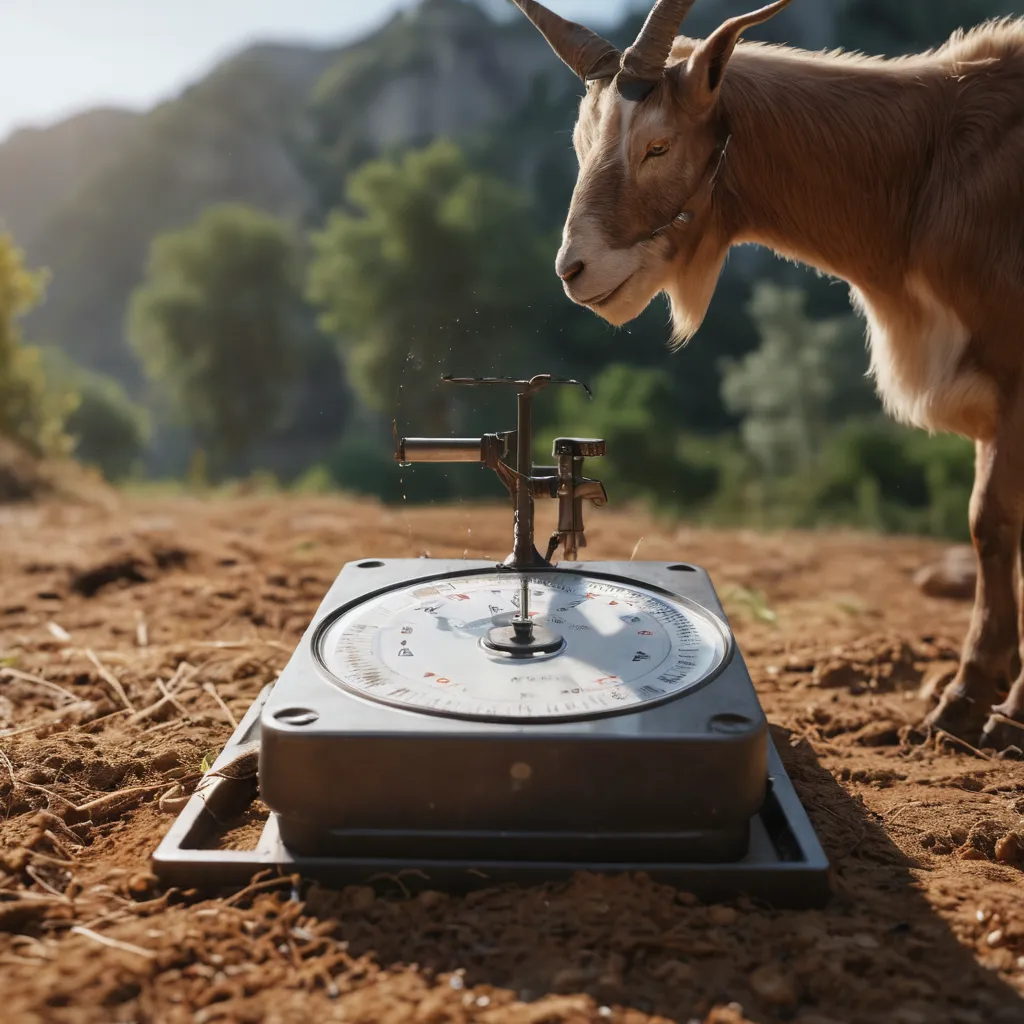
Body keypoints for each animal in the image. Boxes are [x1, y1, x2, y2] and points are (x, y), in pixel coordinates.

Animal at [512, 0, 1024, 751]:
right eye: (581, 143)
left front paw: (989, 705)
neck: (930, 159)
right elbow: (994, 526)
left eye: (658, 147)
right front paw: (977, 695)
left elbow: (993, 520)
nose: (574, 270)